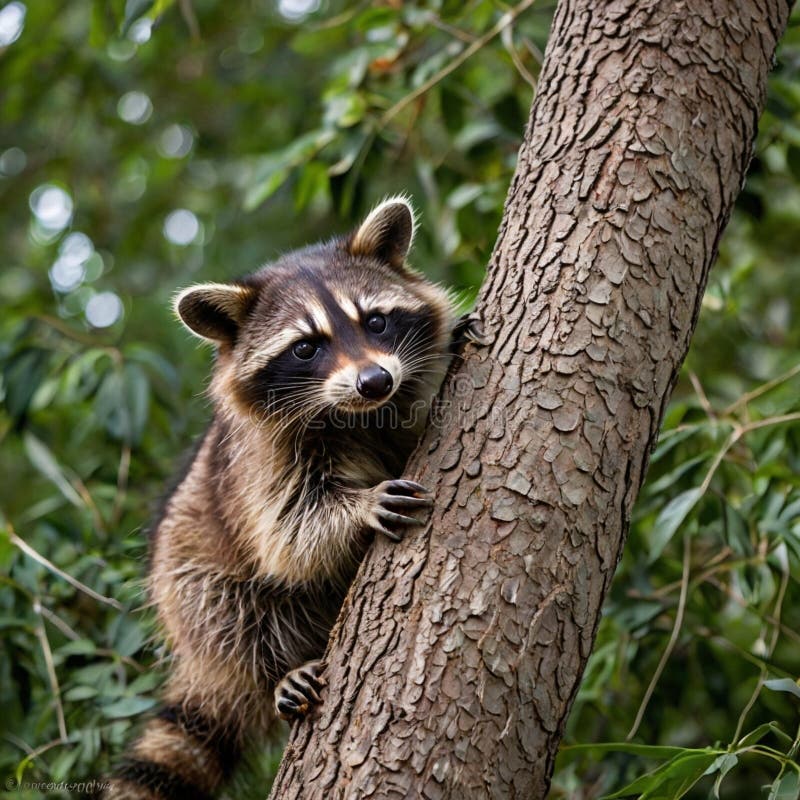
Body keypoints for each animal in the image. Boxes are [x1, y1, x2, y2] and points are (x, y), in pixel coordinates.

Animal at [104, 198, 457, 799]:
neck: (357, 415)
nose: (374, 381)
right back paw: (276, 672)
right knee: (226, 615)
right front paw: (359, 508)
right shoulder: (259, 462)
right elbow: (289, 534)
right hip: (183, 571)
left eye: (376, 321)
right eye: (306, 347)